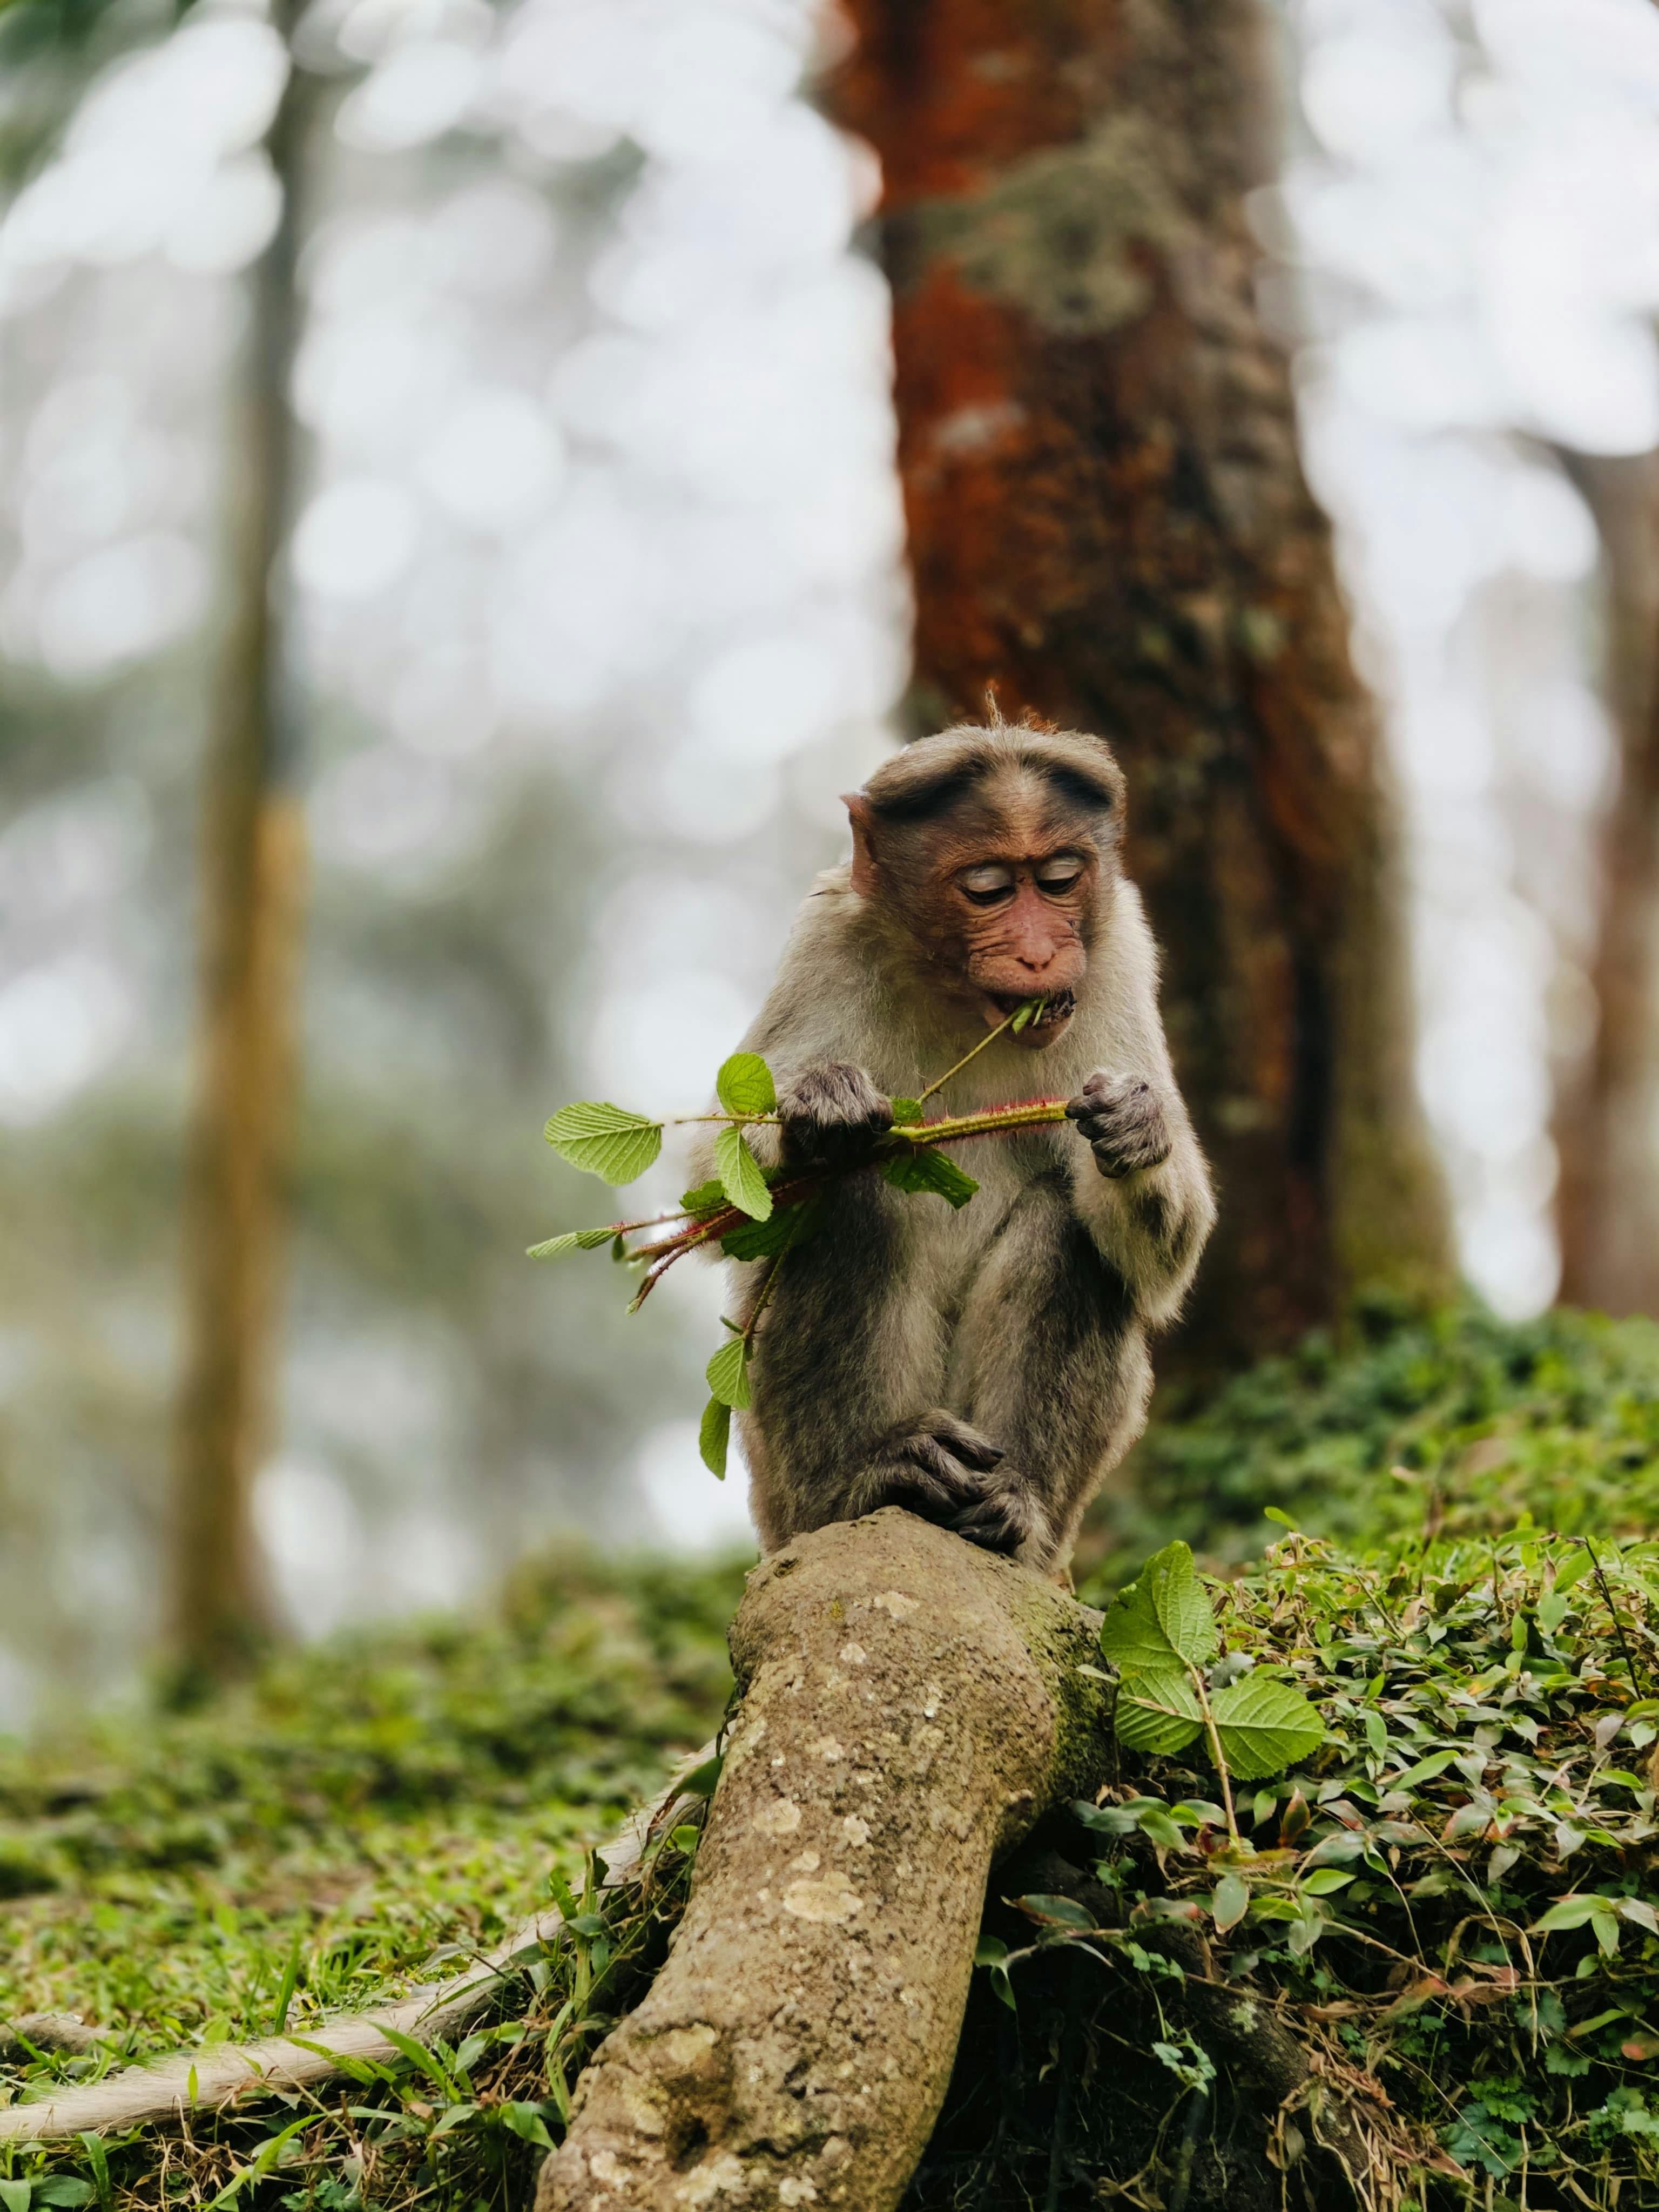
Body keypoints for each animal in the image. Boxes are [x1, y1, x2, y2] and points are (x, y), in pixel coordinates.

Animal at [694, 715, 1216, 1576]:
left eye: (1061, 879)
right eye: (990, 890)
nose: (1040, 951)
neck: (962, 998)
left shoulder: (1119, 950)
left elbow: (1169, 1254)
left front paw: (1138, 1128)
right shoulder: (826, 939)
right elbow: (722, 1196)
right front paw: (820, 1112)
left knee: (1072, 1226)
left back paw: (1010, 1509)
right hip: (781, 1496)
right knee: (853, 1190)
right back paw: (874, 1478)